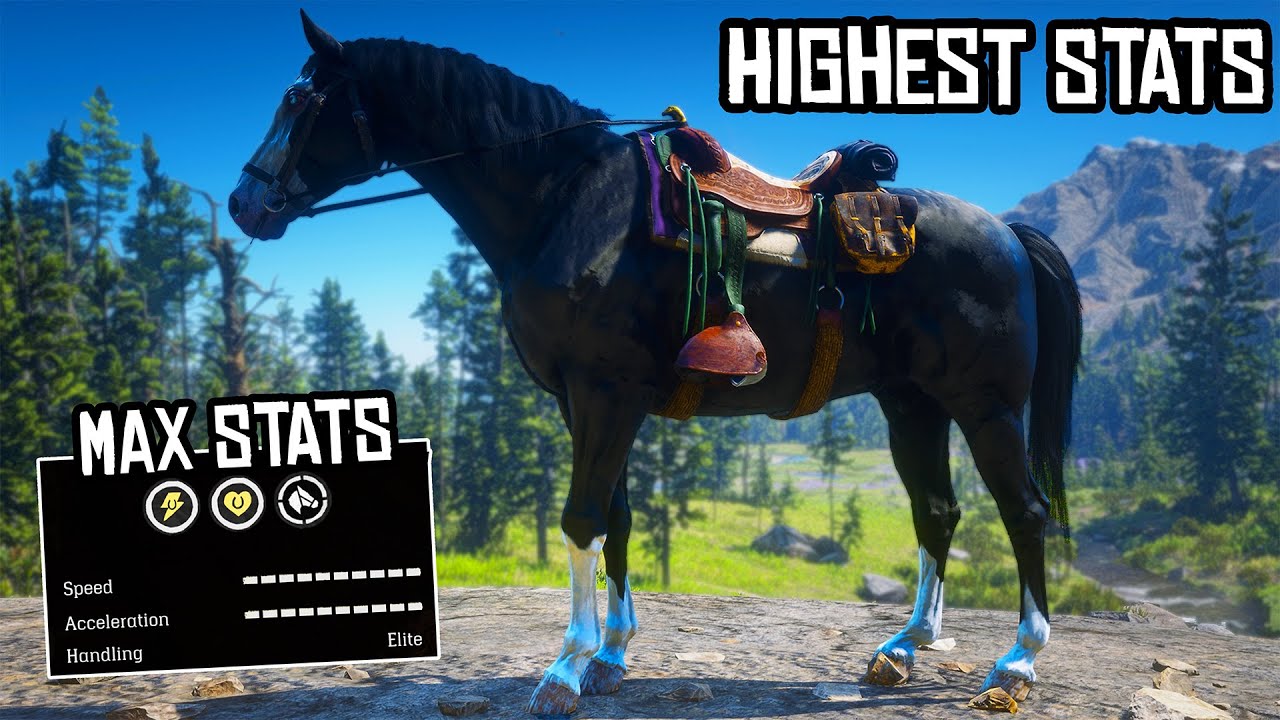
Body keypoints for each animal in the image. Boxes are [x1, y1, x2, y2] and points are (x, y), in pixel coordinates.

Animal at [229, 11, 1082, 714]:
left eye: (301, 101)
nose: (244, 203)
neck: (563, 204)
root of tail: (1006, 232)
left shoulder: (606, 390)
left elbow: (580, 518)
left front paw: (566, 669)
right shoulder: (582, 398)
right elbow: (617, 517)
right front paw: (610, 654)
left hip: (986, 407)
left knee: (1025, 513)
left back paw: (1016, 664)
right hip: (912, 404)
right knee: (937, 511)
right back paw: (904, 647)